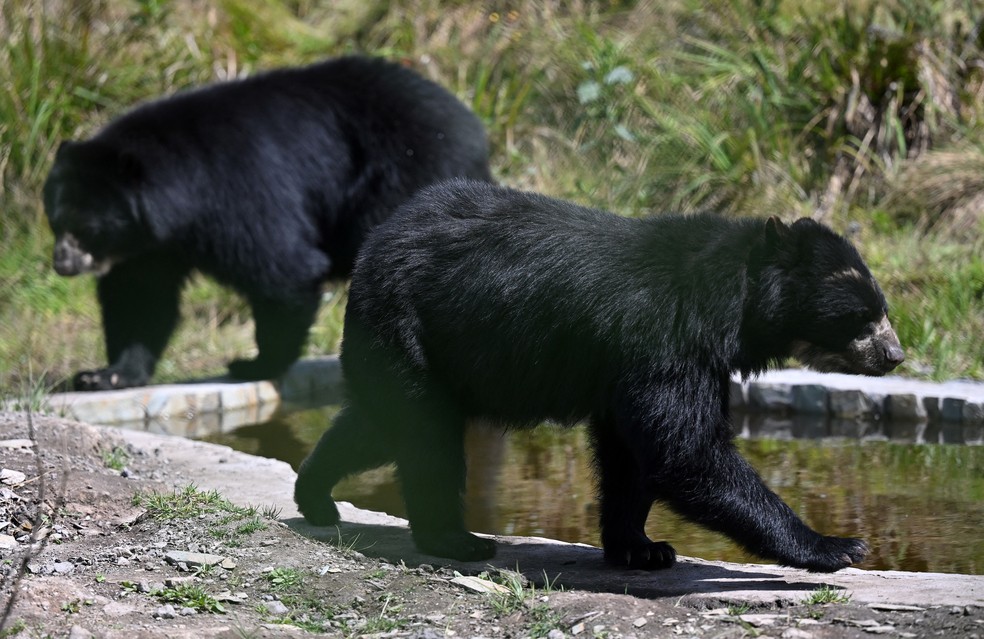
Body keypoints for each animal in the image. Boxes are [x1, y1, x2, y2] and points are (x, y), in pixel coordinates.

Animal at [42, 56, 492, 391]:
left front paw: (255, 364)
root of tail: (473, 127)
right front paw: (106, 375)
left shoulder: (237, 193)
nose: (62, 264)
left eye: (85, 228)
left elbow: (281, 268)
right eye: (55, 220)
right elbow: (139, 298)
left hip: (408, 175)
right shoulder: (150, 246)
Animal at [294, 179, 905, 572]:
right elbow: (685, 450)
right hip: (409, 324)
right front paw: (836, 546)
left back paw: (315, 494)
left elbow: (632, 455)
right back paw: (455, 539)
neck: (731, 305)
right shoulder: (666, 341)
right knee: (425, 434)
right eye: (863, 316)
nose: (895, 355)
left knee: (382, 423)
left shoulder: (633, 364)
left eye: (883, 310)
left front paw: (642, 547)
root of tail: (375, 242)